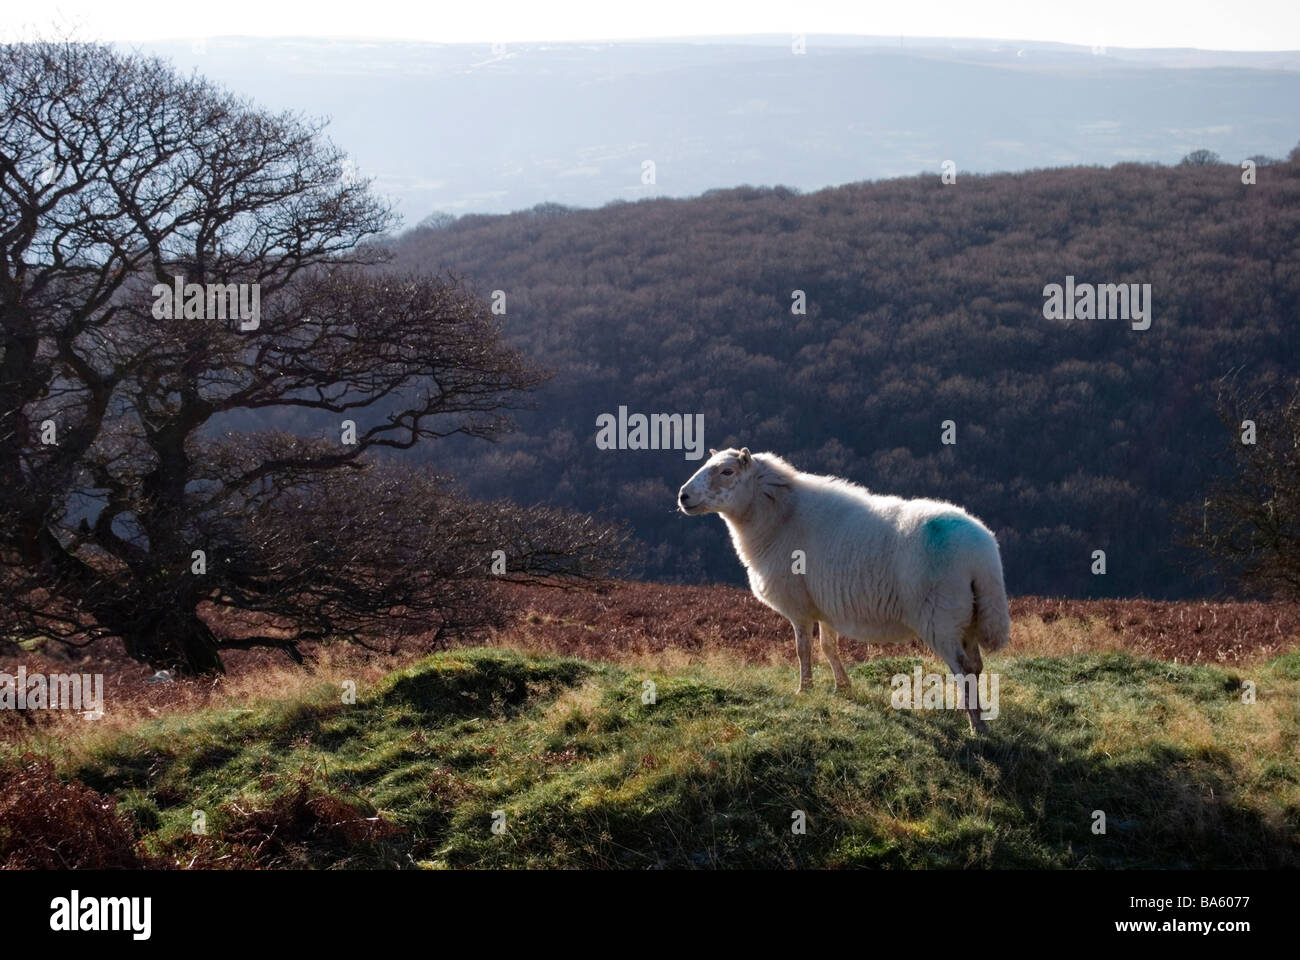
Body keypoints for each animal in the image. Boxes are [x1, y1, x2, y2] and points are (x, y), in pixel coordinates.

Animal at [678, 447, 1010, 732]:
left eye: (727, 471)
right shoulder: (825, 605)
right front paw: (842, 687)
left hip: (940, 619)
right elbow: (829, 647)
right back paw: (981, 718)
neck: (779, 515)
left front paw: (804, 689)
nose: (683, 496)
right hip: (969, 618)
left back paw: (975, 726)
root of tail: (982, 555)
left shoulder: (799, 607)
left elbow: (802, 650)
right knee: (976, 665)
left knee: (963, 668)